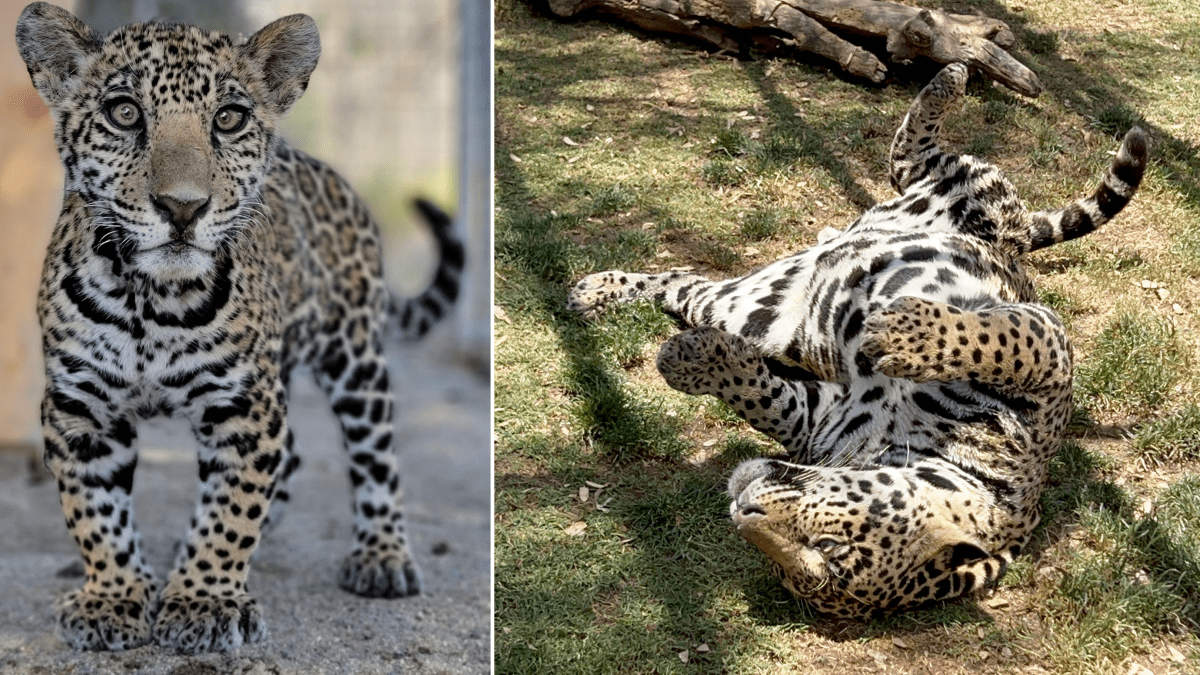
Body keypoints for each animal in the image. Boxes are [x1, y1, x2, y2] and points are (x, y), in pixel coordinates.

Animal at [16, 2, 463, 653]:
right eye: (124, 113)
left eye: (228, 119)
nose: (182, 207)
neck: (150, 300)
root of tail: (330, 175)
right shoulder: (80, 407)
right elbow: (95, 512)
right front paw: (115, 597)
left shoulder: (245, 404)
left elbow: (231, 509)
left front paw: (204, 601)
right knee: (293, 455)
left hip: (355, 358)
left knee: (375, 457)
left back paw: (382, 557)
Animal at [568, 63, 1147, 618]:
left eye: (823, 554)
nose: (741, 511)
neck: (915, 448)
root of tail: (1015, 242)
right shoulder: (1050, 359)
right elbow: (999, 338)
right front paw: (906, 333)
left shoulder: (817, 418)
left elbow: (766, 398)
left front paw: (693, 360)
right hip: (971, 196)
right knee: (917, 156)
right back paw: (950, 78)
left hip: (747, 304)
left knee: (679, 283)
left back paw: (621, 306)